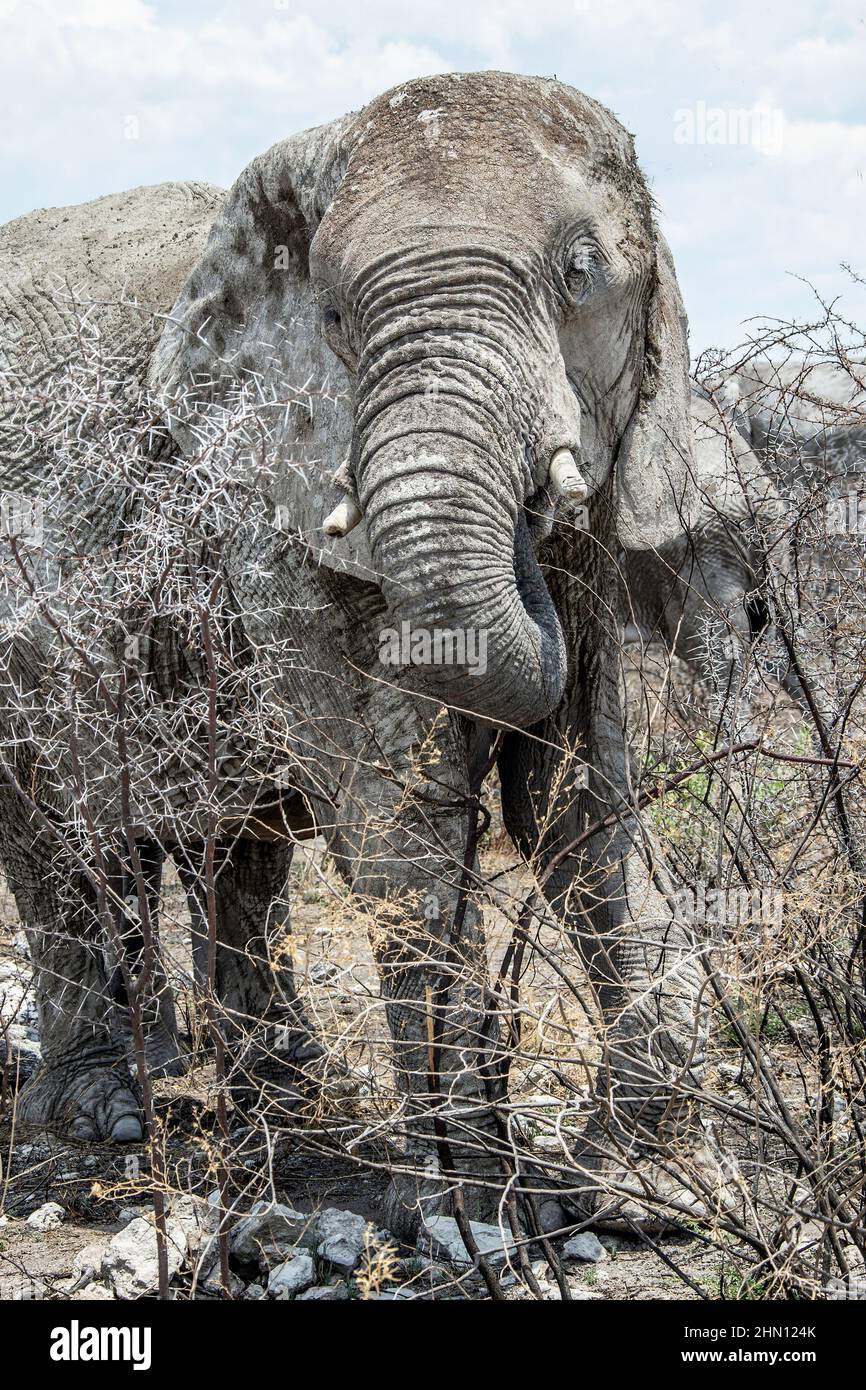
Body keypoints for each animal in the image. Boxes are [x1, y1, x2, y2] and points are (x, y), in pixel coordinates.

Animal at [0, 70, 723, 1232]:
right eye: (334, 316)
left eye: (580, 272)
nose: (533, 525)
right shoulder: (263, 496)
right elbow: (400, 825)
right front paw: (463, 1209)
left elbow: (576, 802)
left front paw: (639, 1192)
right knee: (54, 838)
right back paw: (105, 1113)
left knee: (236, 846)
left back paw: (287, 1086)